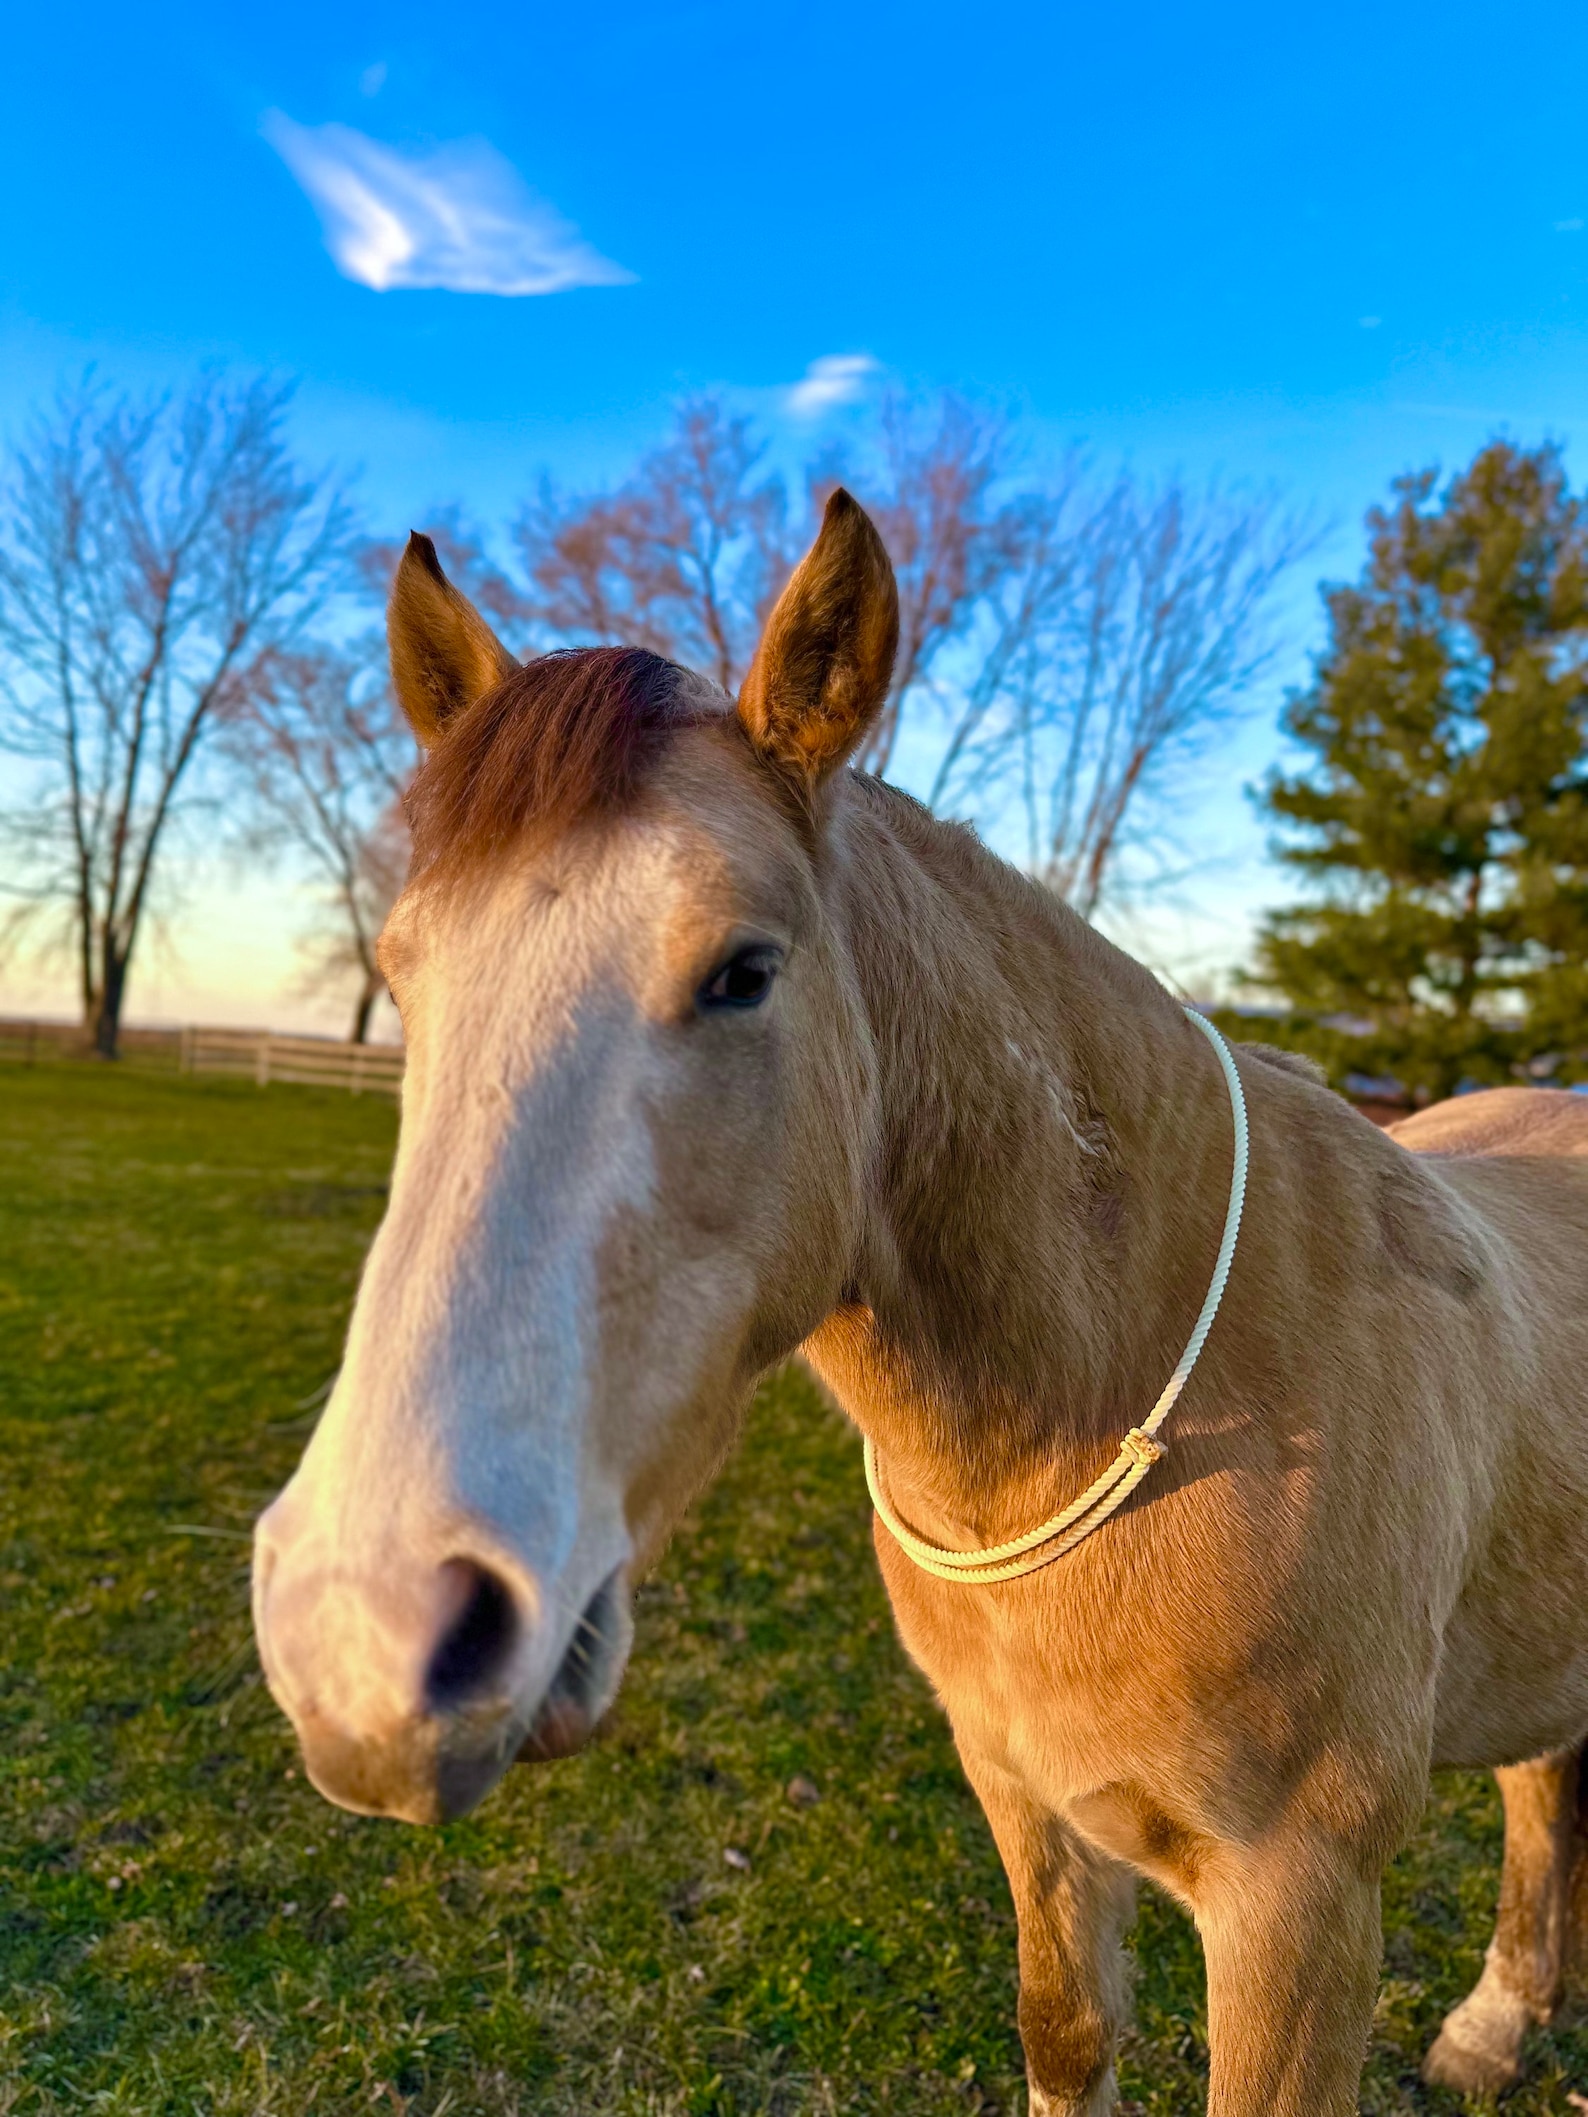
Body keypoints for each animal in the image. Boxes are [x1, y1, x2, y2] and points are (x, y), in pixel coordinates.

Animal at [252, 490, 1588, 2114]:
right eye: (402, 974)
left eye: (744, 970)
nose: (362, 1632)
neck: (1151, 1390)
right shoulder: (1023, 1798)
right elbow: (1063, 2033)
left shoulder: (1302, 1902)